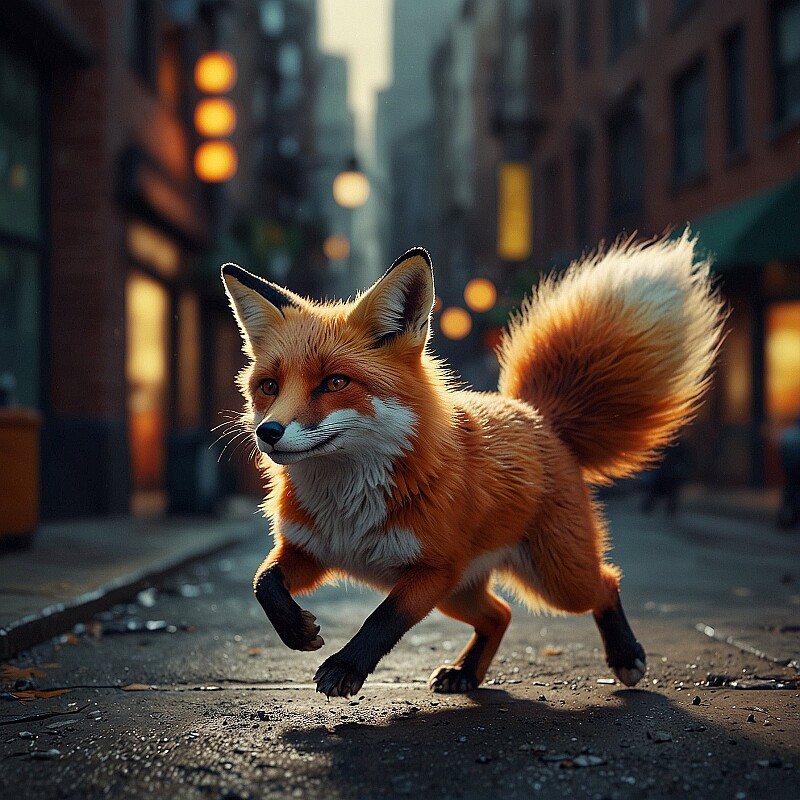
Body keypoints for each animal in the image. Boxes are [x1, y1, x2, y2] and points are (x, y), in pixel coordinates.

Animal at [221, 232, 724, 698]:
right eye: (269, 386)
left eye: (335, 382)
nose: (268, 432)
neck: (348, 505)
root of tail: (536, 414)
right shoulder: (312, 551)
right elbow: (262, 582)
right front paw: (296, 629)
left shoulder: (432, 571)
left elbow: (383, 619)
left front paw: (346, 667)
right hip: (462, 593)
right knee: (500, 614)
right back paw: (465, 671)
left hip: (555, 580)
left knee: (605, 583)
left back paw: (625, 655)